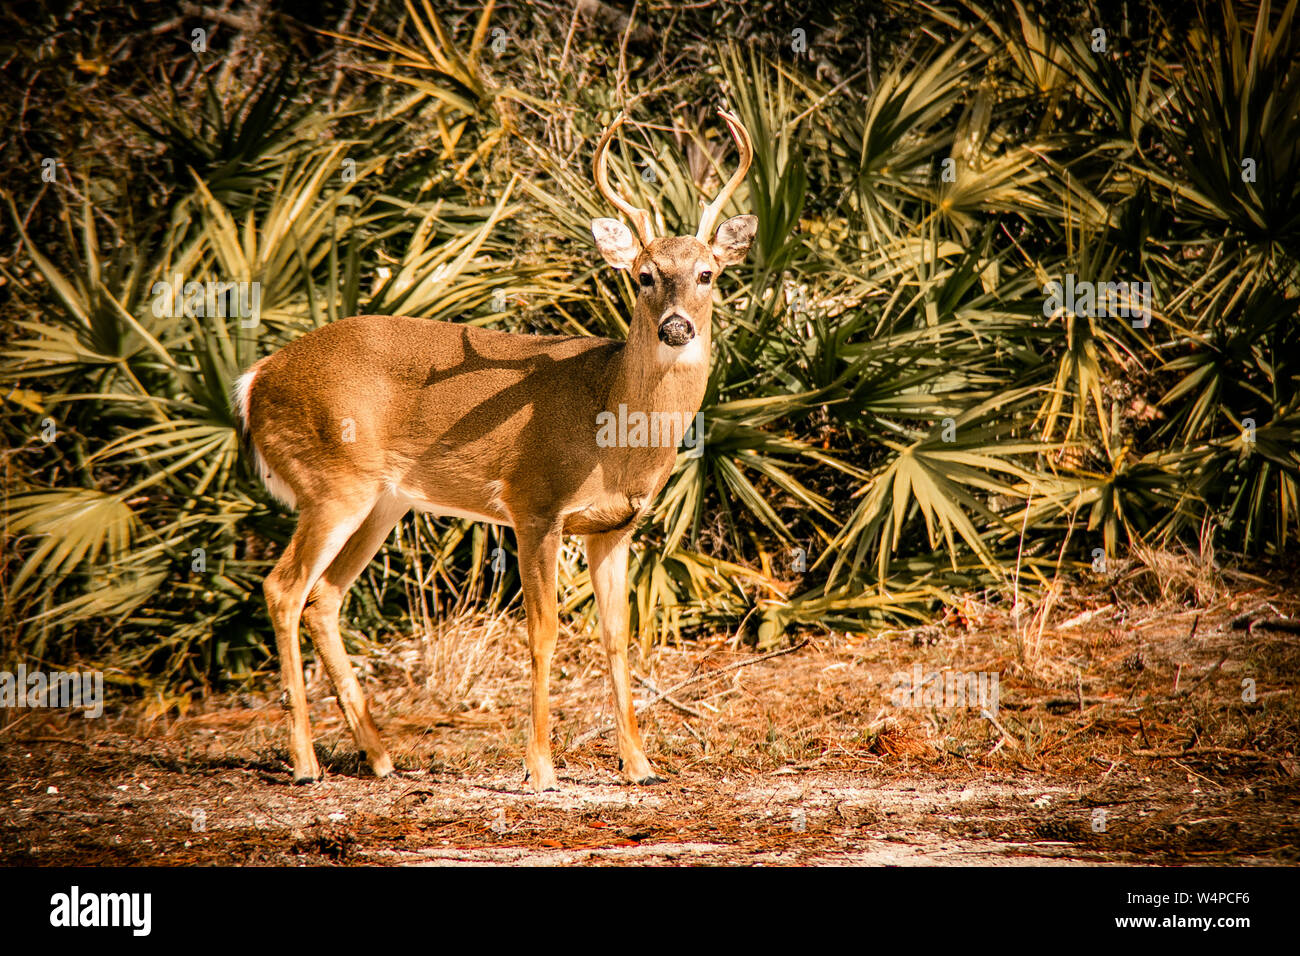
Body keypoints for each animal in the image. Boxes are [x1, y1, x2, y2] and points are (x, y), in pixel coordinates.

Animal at [232, 108, 756, 792]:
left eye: (707, 274)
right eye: (643, 276)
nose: (676, 326)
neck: (612, 427)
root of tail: (256, 378)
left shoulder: (614, 526)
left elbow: (618, 637)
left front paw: (641, 766)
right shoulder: (535, 505)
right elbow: (544, 634)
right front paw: (541, 768)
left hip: (382, 501)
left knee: (325, 598)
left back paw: (380, 757)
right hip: (330, 481)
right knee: (283, 587)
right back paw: (305, 763)